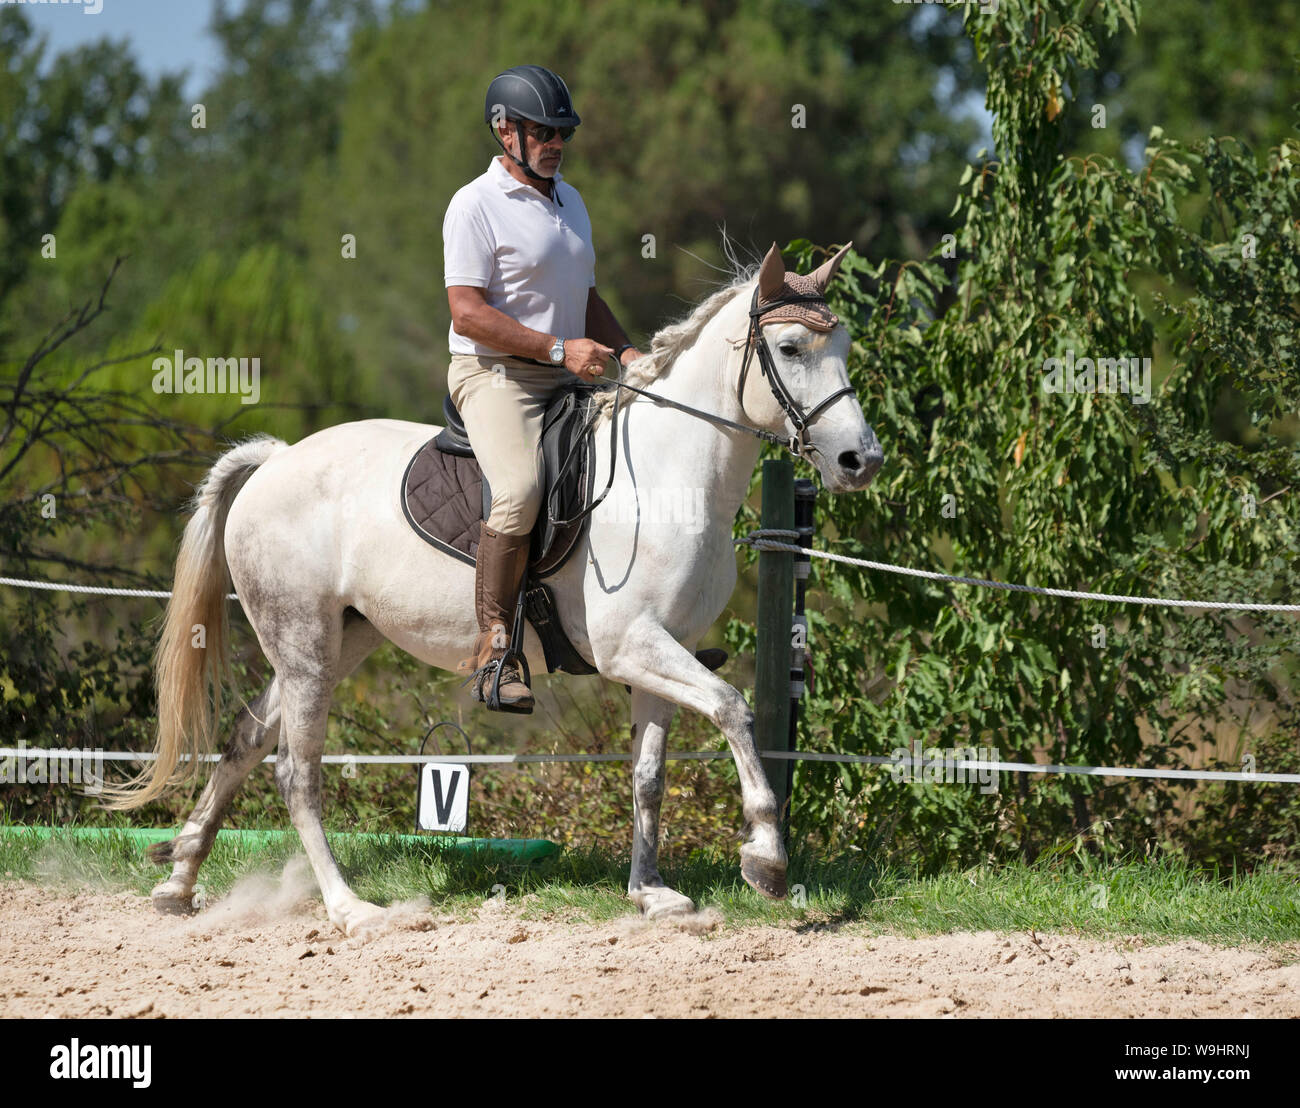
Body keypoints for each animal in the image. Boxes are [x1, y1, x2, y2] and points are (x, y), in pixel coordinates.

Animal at [107, 242, 883, 935]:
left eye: (843, 346)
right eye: (790, 348)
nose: (861, 460)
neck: (672, 477)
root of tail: (277, 459)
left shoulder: (666, 651)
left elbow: (648, 774)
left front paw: (651, 893)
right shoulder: (633, 646)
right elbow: (733, 709)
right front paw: (766, 858)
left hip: (337, 642)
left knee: (244, 740)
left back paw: (178, 882)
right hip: (302, 644)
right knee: (297, 775)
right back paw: (351, 909)